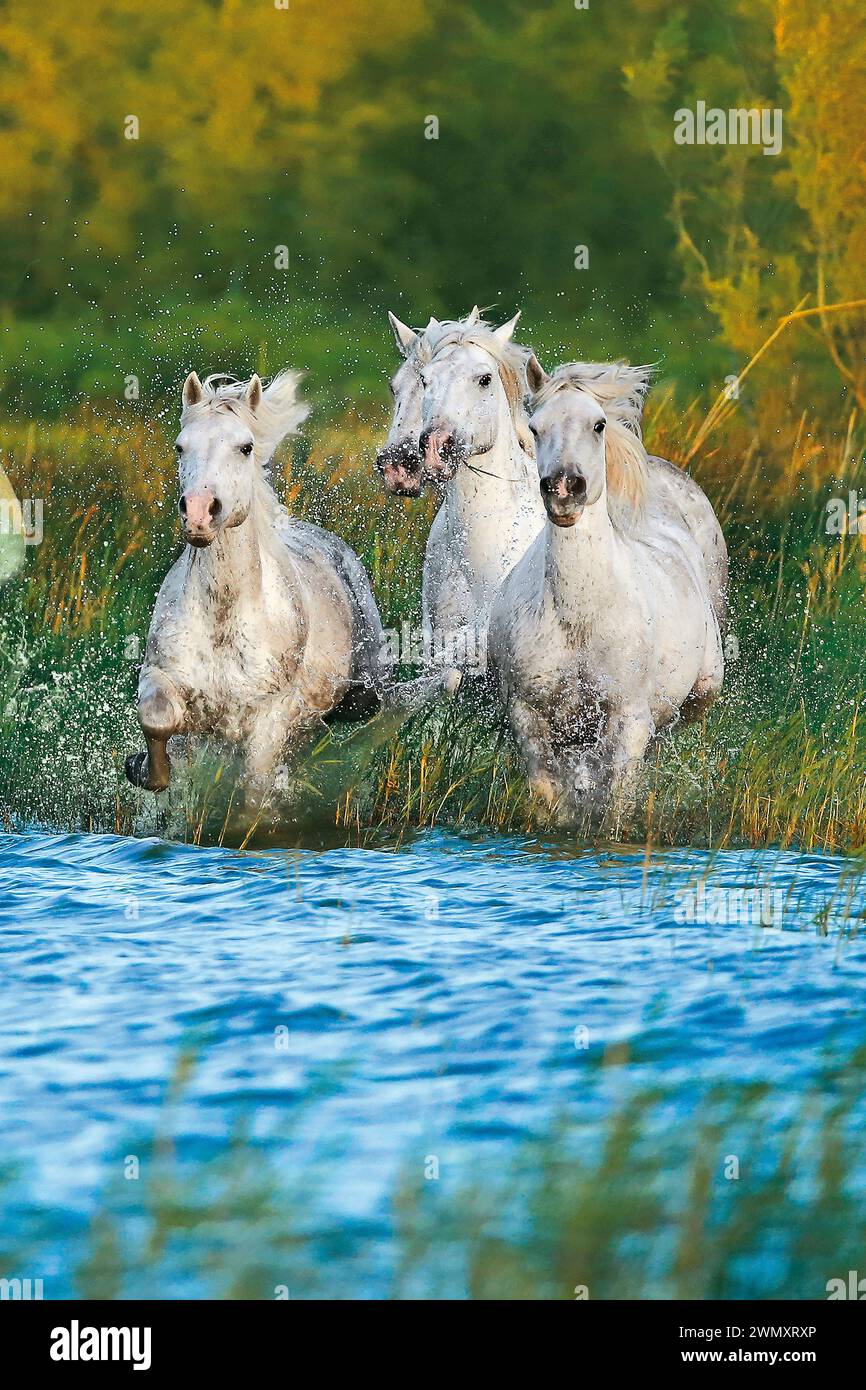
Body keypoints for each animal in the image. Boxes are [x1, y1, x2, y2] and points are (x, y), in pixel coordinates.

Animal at [125, 369, 446, 798]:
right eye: (180, 446)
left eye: (245, 447)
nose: (199, 512)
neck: (224, 616)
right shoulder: (162, 676)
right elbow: (158, 719)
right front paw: (144, 769)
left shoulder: (271, 717)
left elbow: (255, 786)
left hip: (364, 690)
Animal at [487, 360, 724, 818]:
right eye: (535, 427)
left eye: (598, 425)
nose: (564, 489)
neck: (580, 617)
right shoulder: (531, 719)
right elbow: (551, 799)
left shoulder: (628, 719)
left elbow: (616, 802)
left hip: (703, 688)